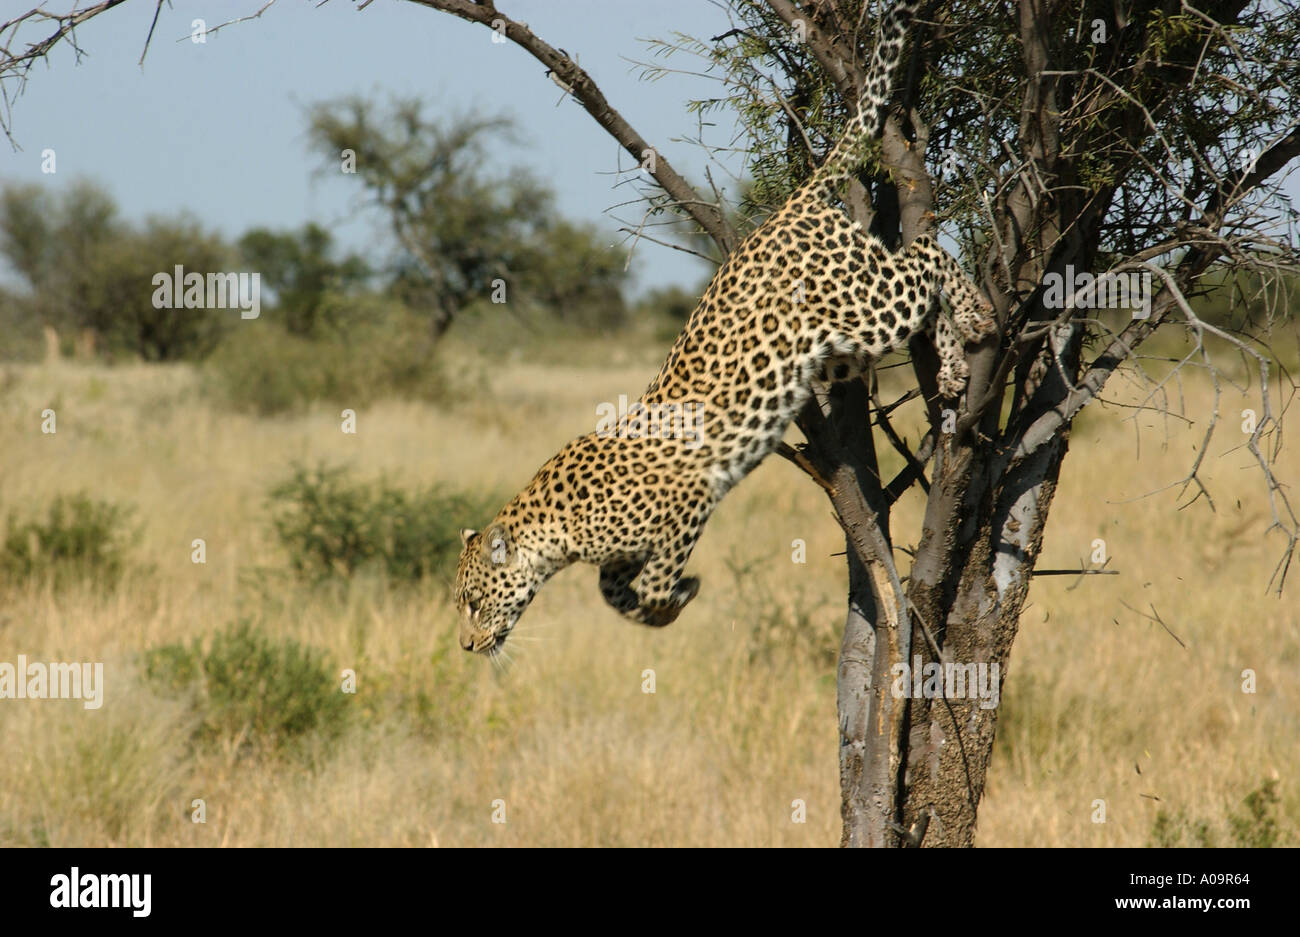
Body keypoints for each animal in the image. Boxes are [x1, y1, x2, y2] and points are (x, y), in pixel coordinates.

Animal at [455, 0, 997, 654]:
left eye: (474, 601)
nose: (465, 645)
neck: (555, 533)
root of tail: (789, 207)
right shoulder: (619, 556)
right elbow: (613, 593)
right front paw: (661, 608)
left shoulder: (690, 496)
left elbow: (652, 578)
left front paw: (674, 595)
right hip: (840, 344)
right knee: (920, 282)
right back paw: (952, 367)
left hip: (869, 308)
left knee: (929, 257)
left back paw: (976, 316)